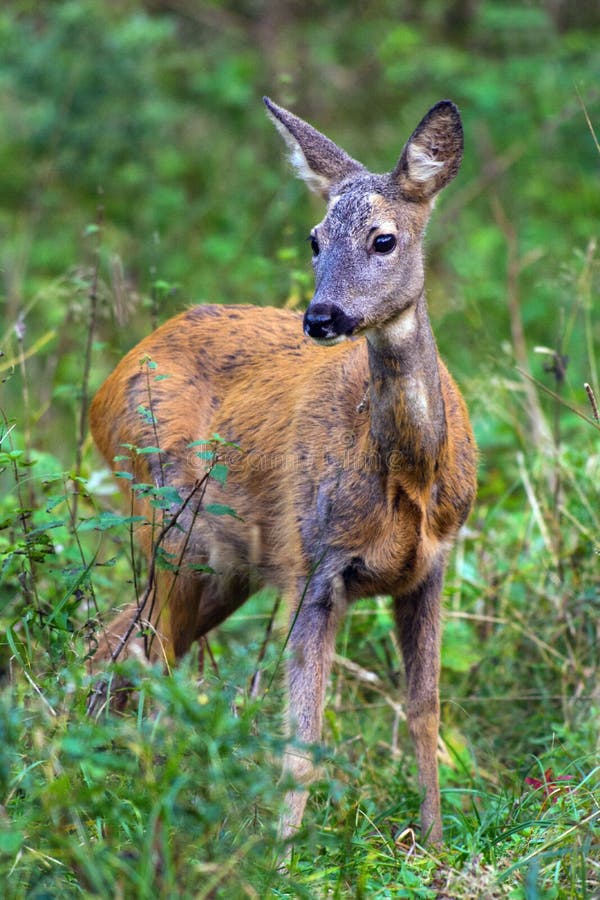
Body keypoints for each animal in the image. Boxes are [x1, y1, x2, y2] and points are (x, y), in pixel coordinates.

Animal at [88, 96, 477, 846]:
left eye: (384, 239)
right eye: (314, 238)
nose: (322, 316)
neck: (409, 476)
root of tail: (103, 387)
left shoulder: (433, 564)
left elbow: (425, 710)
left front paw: (436, 845)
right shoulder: (316, 566)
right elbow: (303, 732)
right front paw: (283, 852)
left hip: (225, 566)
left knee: (114, 644)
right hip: (164, 521)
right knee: (149, 652)